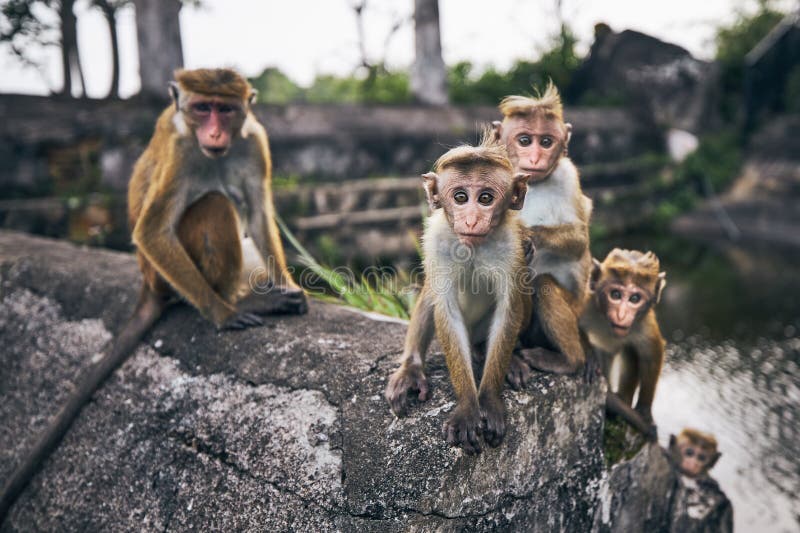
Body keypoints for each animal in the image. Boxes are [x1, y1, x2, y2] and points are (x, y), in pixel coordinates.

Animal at [0, 68, 307, 521]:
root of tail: (147, 281)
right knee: (212, 204)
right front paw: (223, 313)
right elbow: (152, 229)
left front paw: (286, 284)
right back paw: (237, 299)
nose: (214, 131)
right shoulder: (181, 151)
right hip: (166, 276)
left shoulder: (255, 142)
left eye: (226, 109)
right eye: (203, 108)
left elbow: (258, 211)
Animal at [403, 138, 531, 453]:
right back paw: (412, 370)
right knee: (431, 294)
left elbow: (509, 308)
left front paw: (489, 401)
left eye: (485, 198)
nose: (471, 220)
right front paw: (468, 409)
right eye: (460, 197)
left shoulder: (511, 246)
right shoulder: (436, 239)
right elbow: (445, 309)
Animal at [579, 248, 667, 441]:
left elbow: (651, 353)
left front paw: (644, 411)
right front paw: (589, 357)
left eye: (635, 298)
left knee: (630, 351)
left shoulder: (644, 324)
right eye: (616, 295)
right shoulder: (585, 300)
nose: (621, 315)